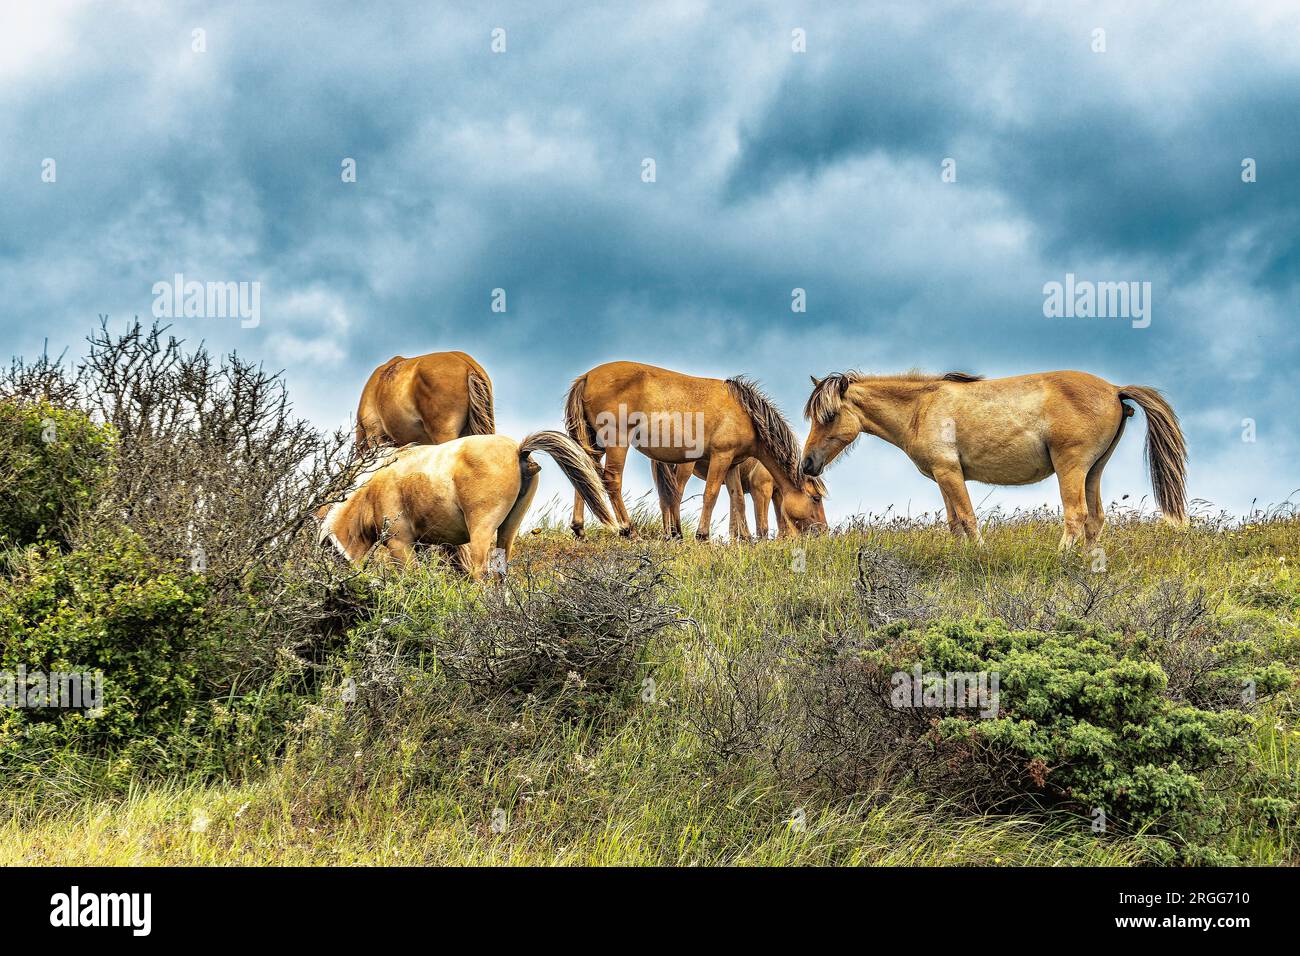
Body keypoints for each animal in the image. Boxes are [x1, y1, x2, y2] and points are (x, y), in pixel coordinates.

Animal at [318, 431, 614, 577]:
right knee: (500, 572)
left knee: (482, 572)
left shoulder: (400, 544)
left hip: (482, 528)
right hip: (509, 528)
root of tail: (519, 450)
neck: (373, 490)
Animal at [652, 457, 828, 539]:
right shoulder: (761, 488)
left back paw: (668, 535)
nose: (824, 530)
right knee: (675, 496)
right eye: (816, 498)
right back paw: (675, 535)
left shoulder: (777, 493)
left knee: (664, 499)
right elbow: (762, 527)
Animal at [801, 370, 1187, 549]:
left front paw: (979, 554)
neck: (921, 407)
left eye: (829, 415)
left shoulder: (950, 473)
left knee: (1076, 515)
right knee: (1095, 519)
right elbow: (954, 523)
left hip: (1072, 467)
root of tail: (1114, 389)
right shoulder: (944, 477)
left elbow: (968, 519)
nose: (807, 464)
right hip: (1094, 470)